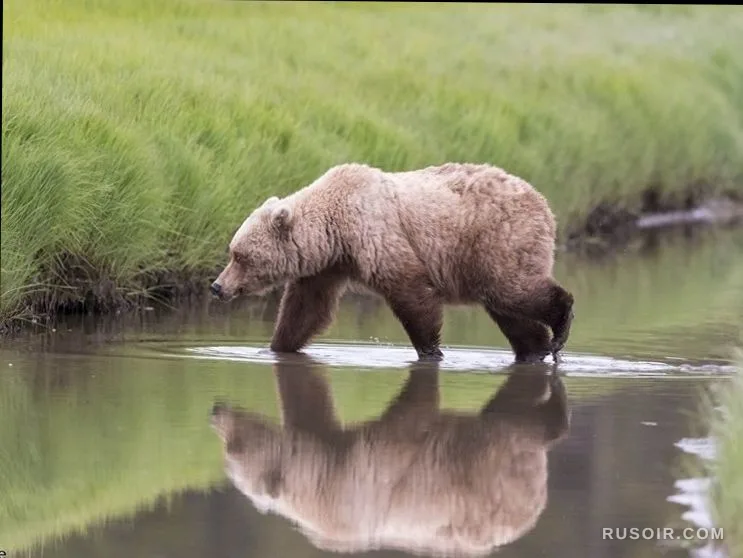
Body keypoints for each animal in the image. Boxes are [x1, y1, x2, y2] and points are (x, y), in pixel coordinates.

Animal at [210, 162, 574, 363]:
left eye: (240, 256)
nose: (217, 286)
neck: (335, 231)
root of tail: (544, 203)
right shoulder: (325, 268)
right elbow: (305, 310)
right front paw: (274, 348)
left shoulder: (379, 238)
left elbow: (412, 295)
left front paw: (430, 351)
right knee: (509, 312)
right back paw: (535, 349)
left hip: (497, 242)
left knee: (514, 291)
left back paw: (560, 324)